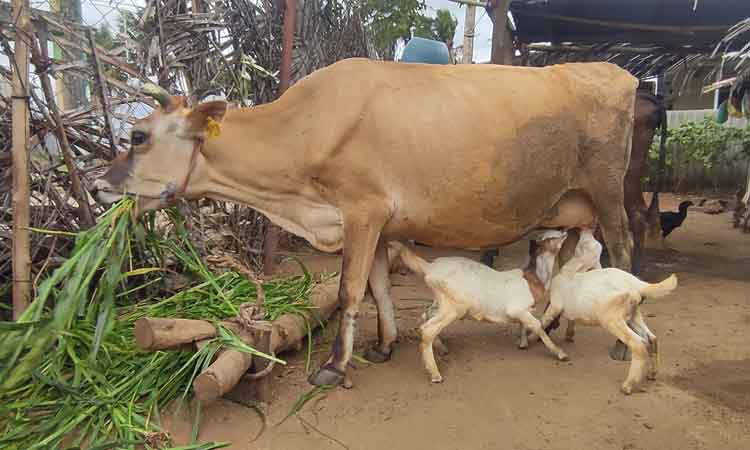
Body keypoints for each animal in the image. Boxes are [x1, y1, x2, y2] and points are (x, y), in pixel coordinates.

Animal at [388, 230, 569, 384]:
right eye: (551, 238)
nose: (565, 231)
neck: (533, 279)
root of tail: (429, 267)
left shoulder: (524, 311)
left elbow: (524, 324)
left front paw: (523, 343)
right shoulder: (516, 309)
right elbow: (537, 325)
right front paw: (560, 353)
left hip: (441, 301)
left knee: (426, 315)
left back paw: (442, 348)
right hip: (456, 306)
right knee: (427, 329)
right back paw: (435, 374)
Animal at [532, 245, 678, 394]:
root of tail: (638, 284)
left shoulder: (555, 305)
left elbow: (541, 323)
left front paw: (531, 339)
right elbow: (567, 321)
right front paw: (568, 335)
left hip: (611, 319)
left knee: (638, 344)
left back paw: (628, 385)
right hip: (634, 315)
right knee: (652, 339)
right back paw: (652, 374)